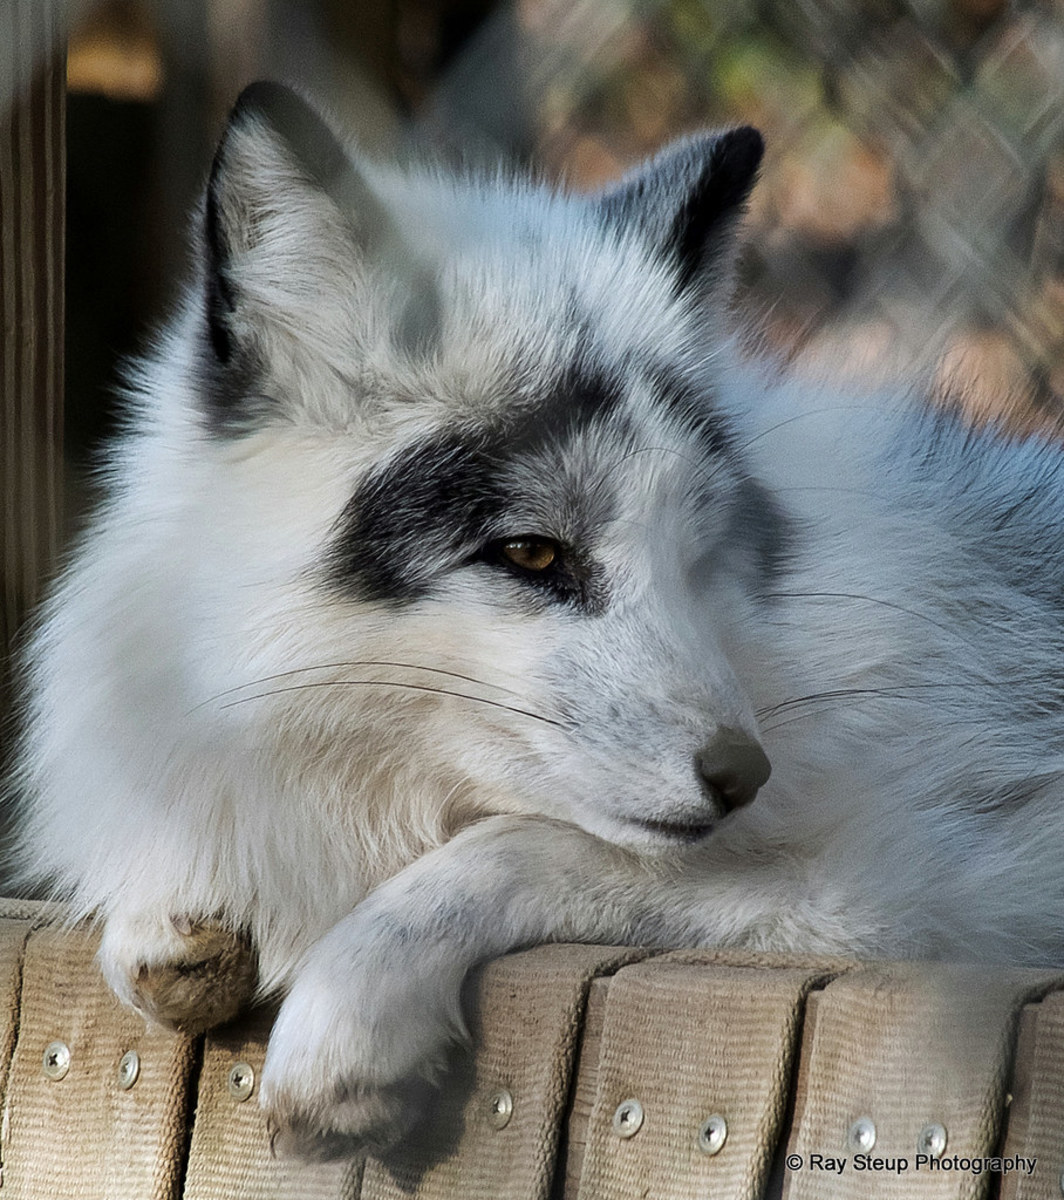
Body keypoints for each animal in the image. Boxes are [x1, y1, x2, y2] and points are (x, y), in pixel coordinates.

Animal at [12, 81, 1064, 1156]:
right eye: (531, 553)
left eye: (696, 561)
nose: (743, 775)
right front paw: (167, 920)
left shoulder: (914, 887)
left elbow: (530, 846)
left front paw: (346, 1019)